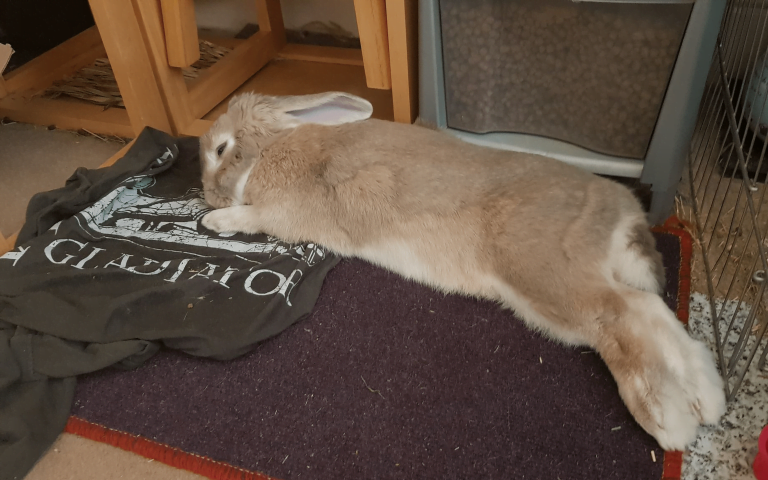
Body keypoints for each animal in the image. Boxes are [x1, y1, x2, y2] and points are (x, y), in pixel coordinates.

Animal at [199, 91, 726, 451]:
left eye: (221, 148)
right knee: (648, 308)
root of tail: (622, 211)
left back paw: (669, 420)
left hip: (541, 273)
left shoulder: (290, 214)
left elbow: (255, 217)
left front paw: (214, 222)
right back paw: (709, 398)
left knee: (619, 315)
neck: (274, 148)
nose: (208, 195)